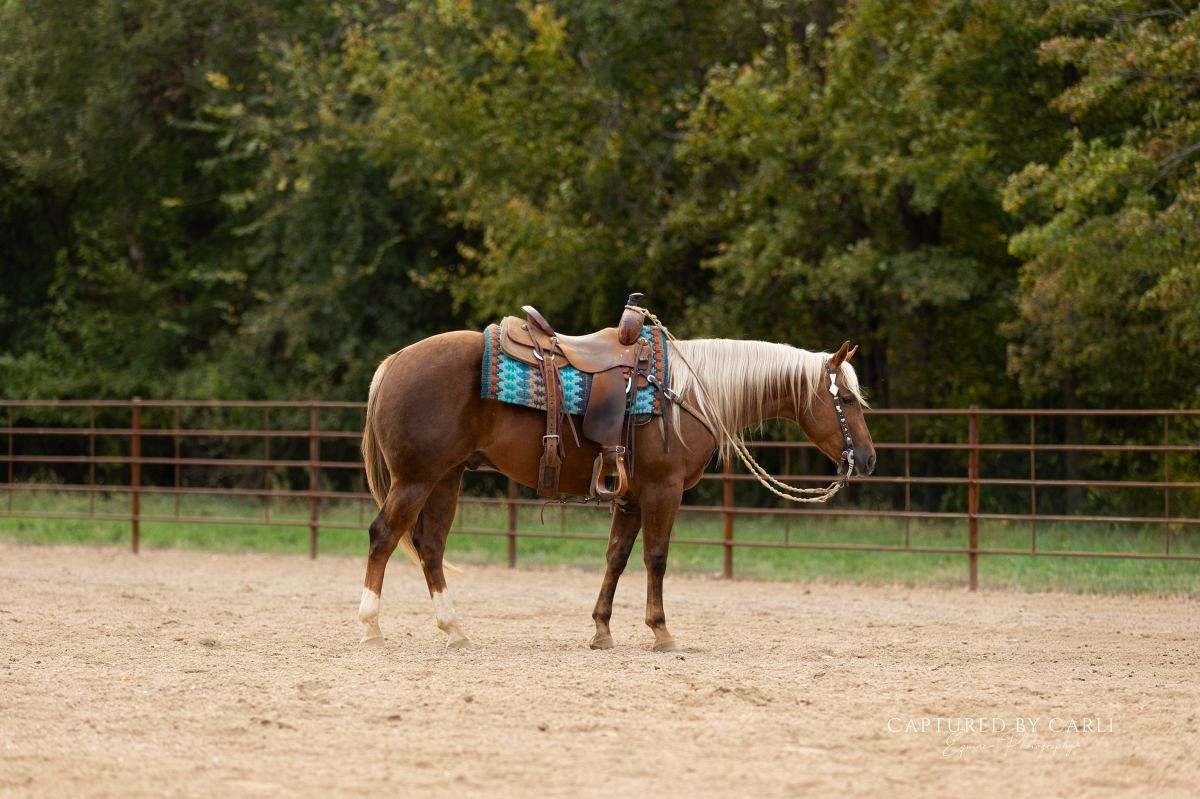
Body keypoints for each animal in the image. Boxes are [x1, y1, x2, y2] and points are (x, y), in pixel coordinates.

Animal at [356, 331, 876, 651]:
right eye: (847, 399)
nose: (868, 460)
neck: (688, 395)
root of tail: (394, 362)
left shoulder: (630, 496)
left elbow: (616, 557)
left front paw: (601, 630)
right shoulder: (663, 490)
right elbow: (656, 558)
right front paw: (661, 632)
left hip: (445, 478)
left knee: (430, 547)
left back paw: (455, 630)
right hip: (416, 479)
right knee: (384, 536)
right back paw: (371, 627)